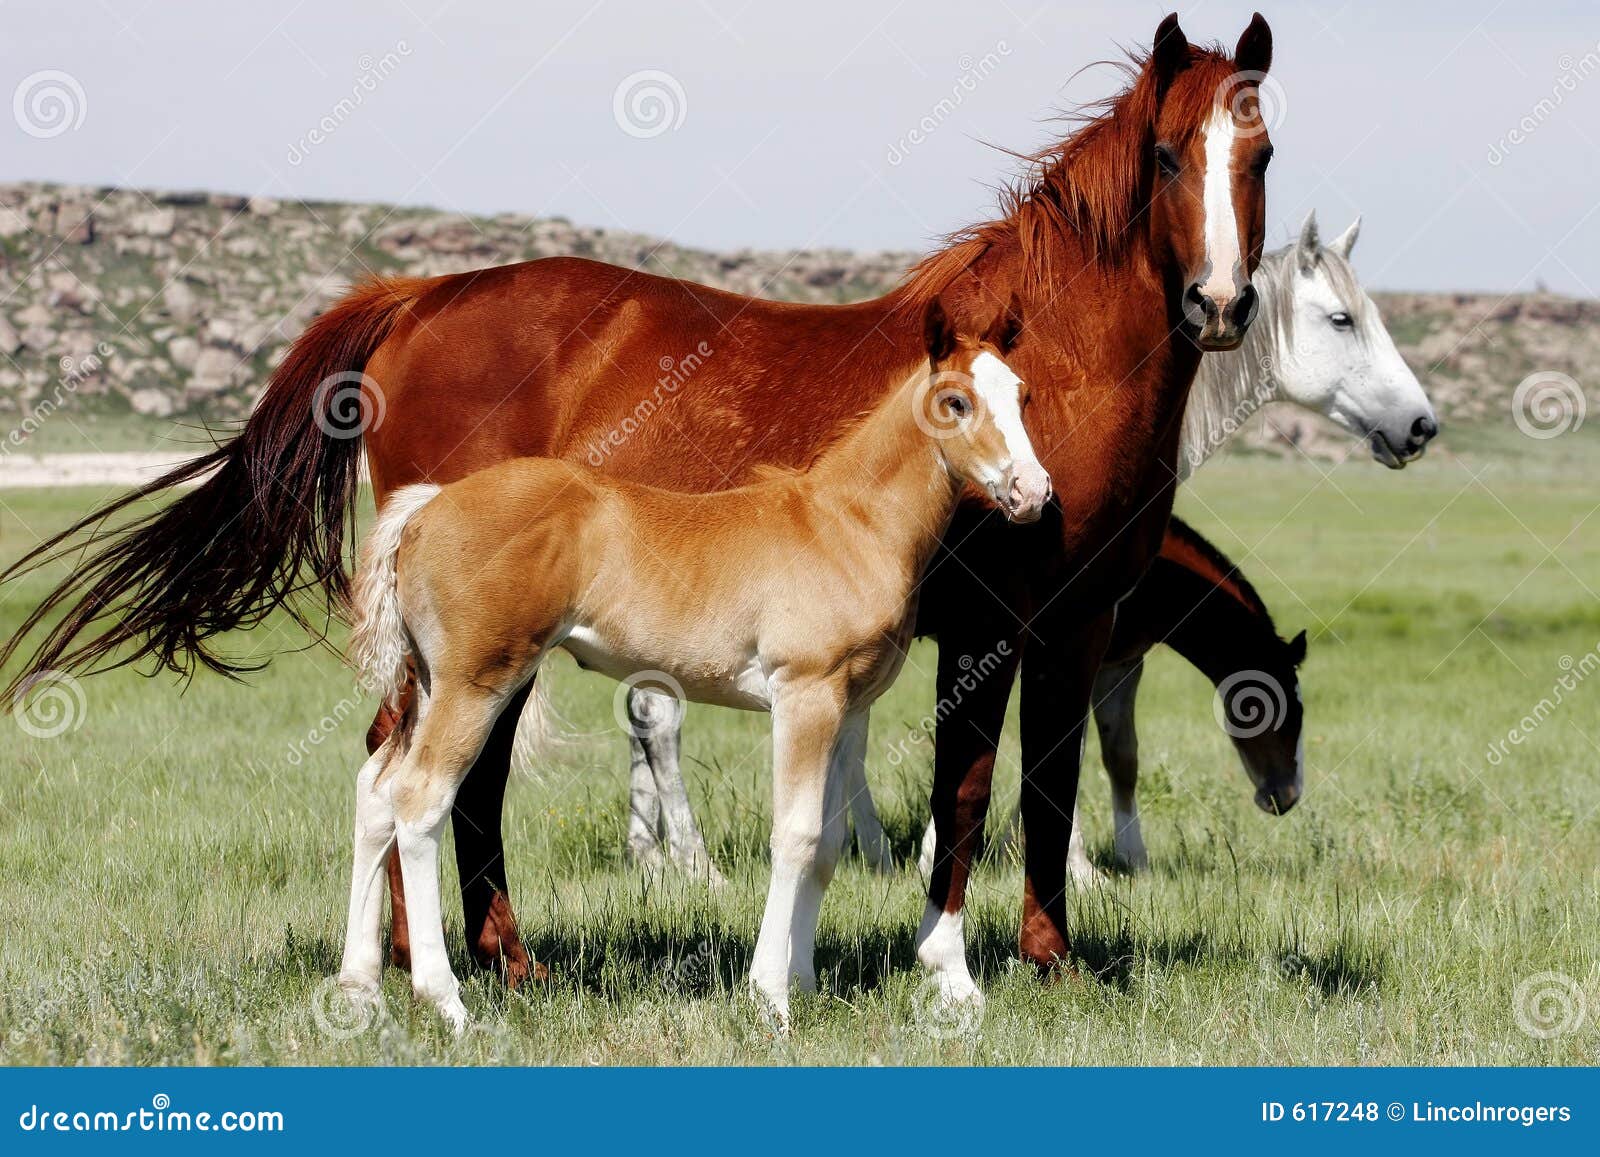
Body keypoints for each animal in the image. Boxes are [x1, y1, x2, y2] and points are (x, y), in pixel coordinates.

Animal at [339, 307, 1048, 1028]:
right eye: (955, 402)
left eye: (1023, 396)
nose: (1032, 491)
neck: (846, 523)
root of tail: (425, 507)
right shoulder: (805, 696)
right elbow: (794, 838)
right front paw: (771, 999)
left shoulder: (849, 707)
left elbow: (827, 844)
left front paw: (805, 982)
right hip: (476, 684)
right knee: (420, 799)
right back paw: (446, 1001)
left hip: (431, 685)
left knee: (376, 790)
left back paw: (360, 987)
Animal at [625, 209, 1437, 880]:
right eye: (1342, 319)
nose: (1422, 425)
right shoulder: (1070, 635)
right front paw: (1052, 860)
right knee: (659, 718)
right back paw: (693, 863)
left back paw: (653, 852)